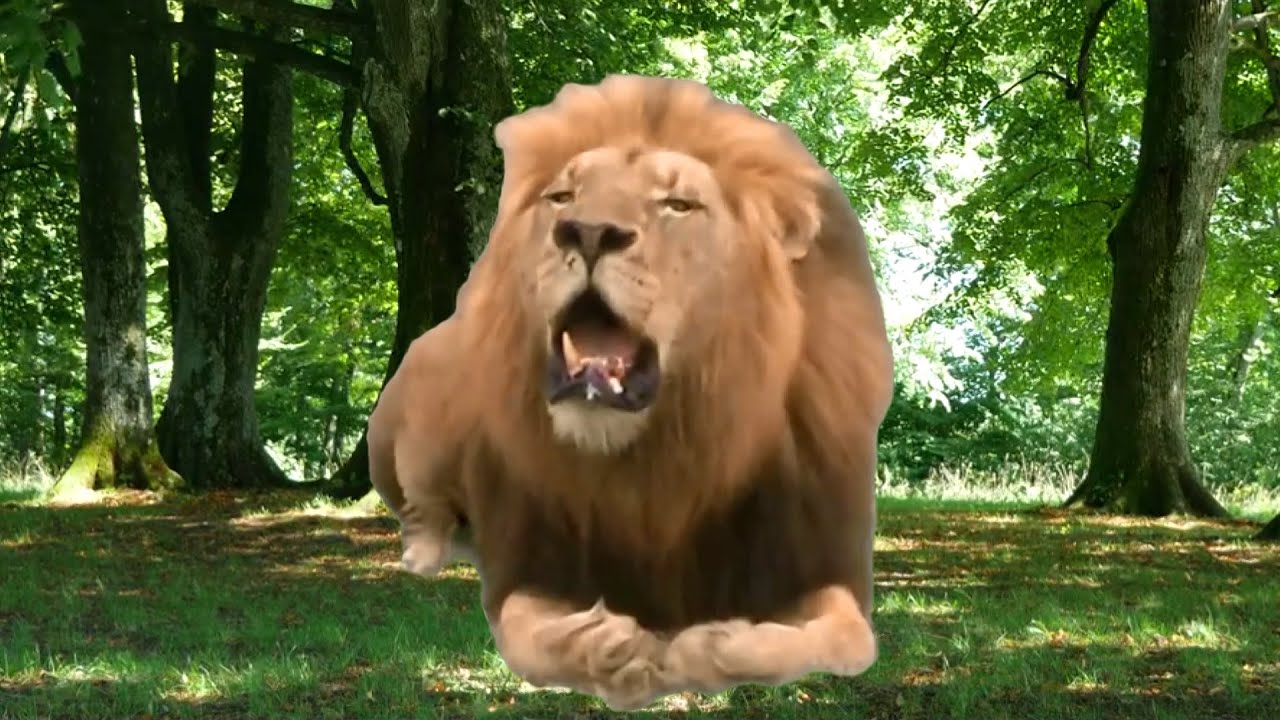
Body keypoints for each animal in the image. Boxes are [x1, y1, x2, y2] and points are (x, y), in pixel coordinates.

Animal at [367, 74, 894, 710]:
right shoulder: (528, 560)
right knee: (421, 506)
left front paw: (712, 643)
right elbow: (523, 624)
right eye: (562, 197)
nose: (588, 232)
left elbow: (841, 631)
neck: (656, 461)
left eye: (678, 205)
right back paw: (424, 553)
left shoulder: (817, 558)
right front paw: (604, 643)